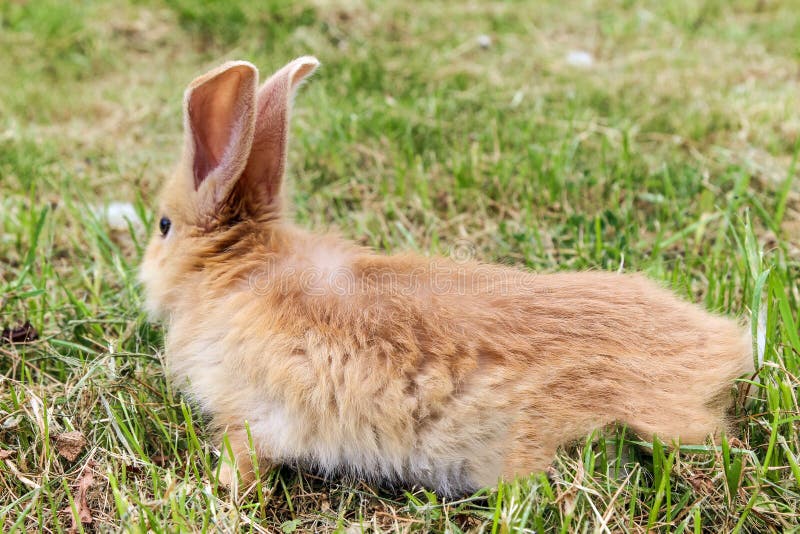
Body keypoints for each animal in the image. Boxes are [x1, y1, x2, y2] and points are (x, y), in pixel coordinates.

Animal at [140, 57, 754, 496]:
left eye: (164, 225)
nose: (144, 275)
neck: (236, 269)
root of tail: (728, 350)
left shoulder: (251, 416)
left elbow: (243, 461)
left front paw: (208, 490)